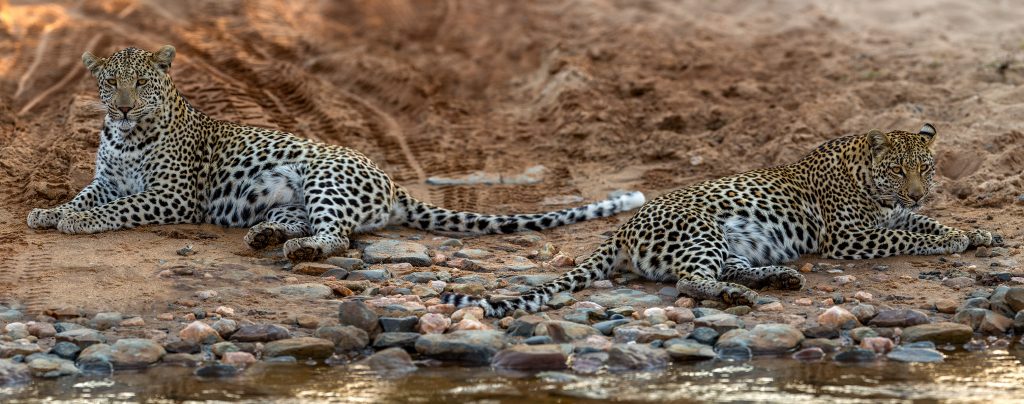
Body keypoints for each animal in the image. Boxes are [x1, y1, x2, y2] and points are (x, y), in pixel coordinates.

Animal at [25, 45, 647, 261]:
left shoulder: (170, 197)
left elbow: (117, 208)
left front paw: (75, 223)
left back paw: (298, 250)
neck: (126, 137)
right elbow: (86, 194)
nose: (125, 108)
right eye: (110, 84)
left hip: (323, 175)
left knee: (340, 236)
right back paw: (266, 237)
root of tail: (393, 183)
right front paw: (49, 212)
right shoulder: (107, 177)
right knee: (308, 223)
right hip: (284, 196)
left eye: (143, 84)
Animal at [443, 124, 1004, 317]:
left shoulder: (892, 217)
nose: (917, 191)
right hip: (701, 231)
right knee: (690, 282)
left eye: (925, 168)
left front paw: (977, 232)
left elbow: (923, 225)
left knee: (726, 268)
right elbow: (910, 238)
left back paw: (780, 278)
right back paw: (741, 295)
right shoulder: (850, 237)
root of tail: (622, 228)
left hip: (727, 242)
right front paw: (954, 240)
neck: (870, 181)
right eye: (898, 169)